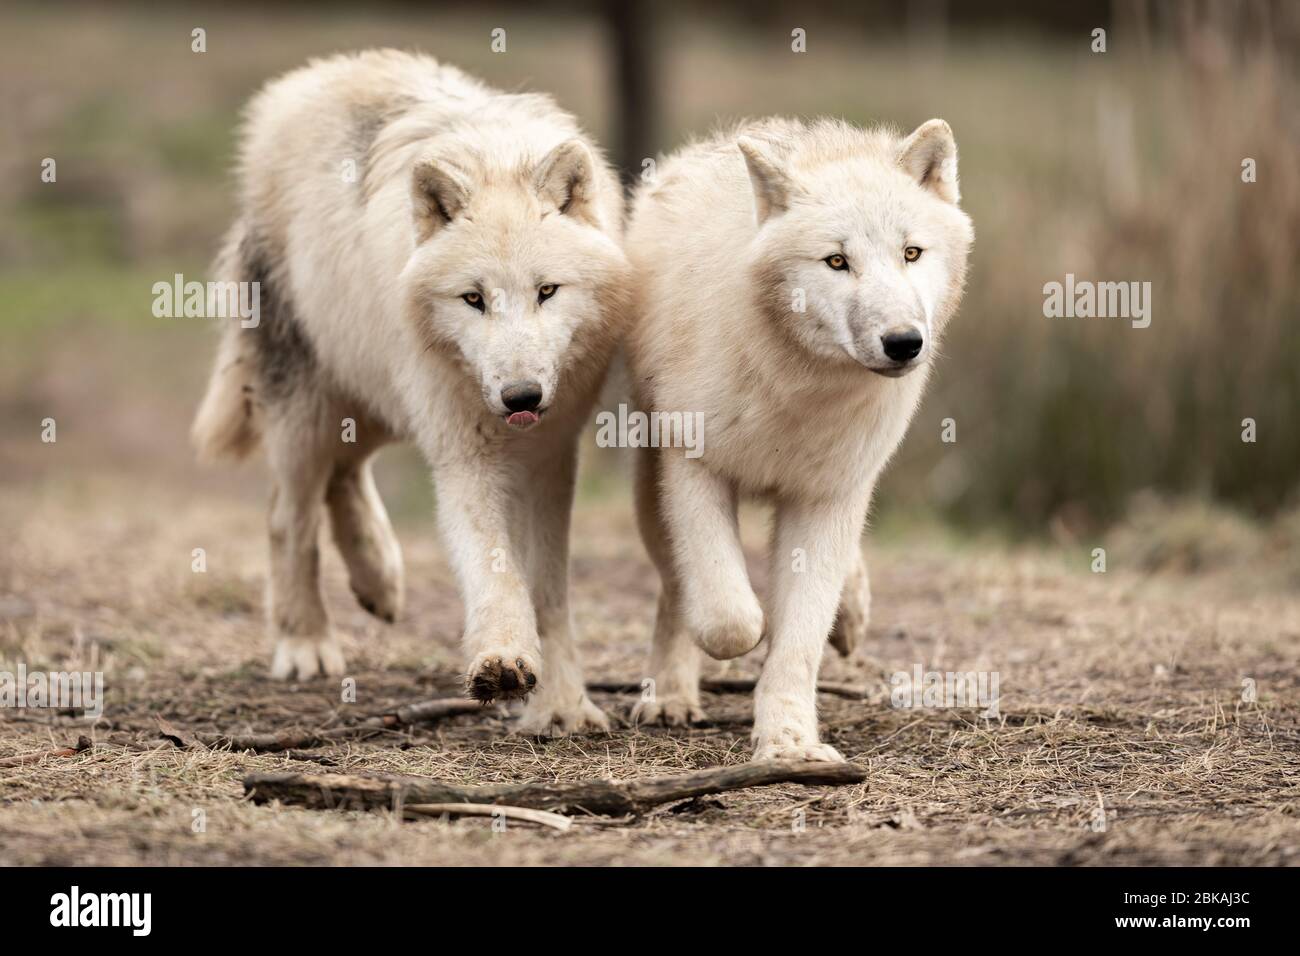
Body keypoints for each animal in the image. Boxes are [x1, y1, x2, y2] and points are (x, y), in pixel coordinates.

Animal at [191, 51, 630, 733]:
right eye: (473, 298)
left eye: (547, 291)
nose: (521, 397)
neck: (493, 153)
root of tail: (309, 77)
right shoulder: (464, 455)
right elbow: (495, 566)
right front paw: (503, 663)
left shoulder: (553, 456)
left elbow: (551, 589)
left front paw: (560, 703)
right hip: (313, 412)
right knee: (287, 516)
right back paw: (305, 643)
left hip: (379, 401)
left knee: (344, 476)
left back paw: (378, 579)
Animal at [626, 117, 973, 760]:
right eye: (836, 261)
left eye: (911, 253)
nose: (903, 343)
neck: (802, 386)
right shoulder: (695, 470)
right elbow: (730, 618)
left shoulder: (830, 496)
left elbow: (799, 640)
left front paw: (788, 742)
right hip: (650, 484)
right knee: (674, 586)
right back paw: (670, 697)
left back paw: (851, 614)